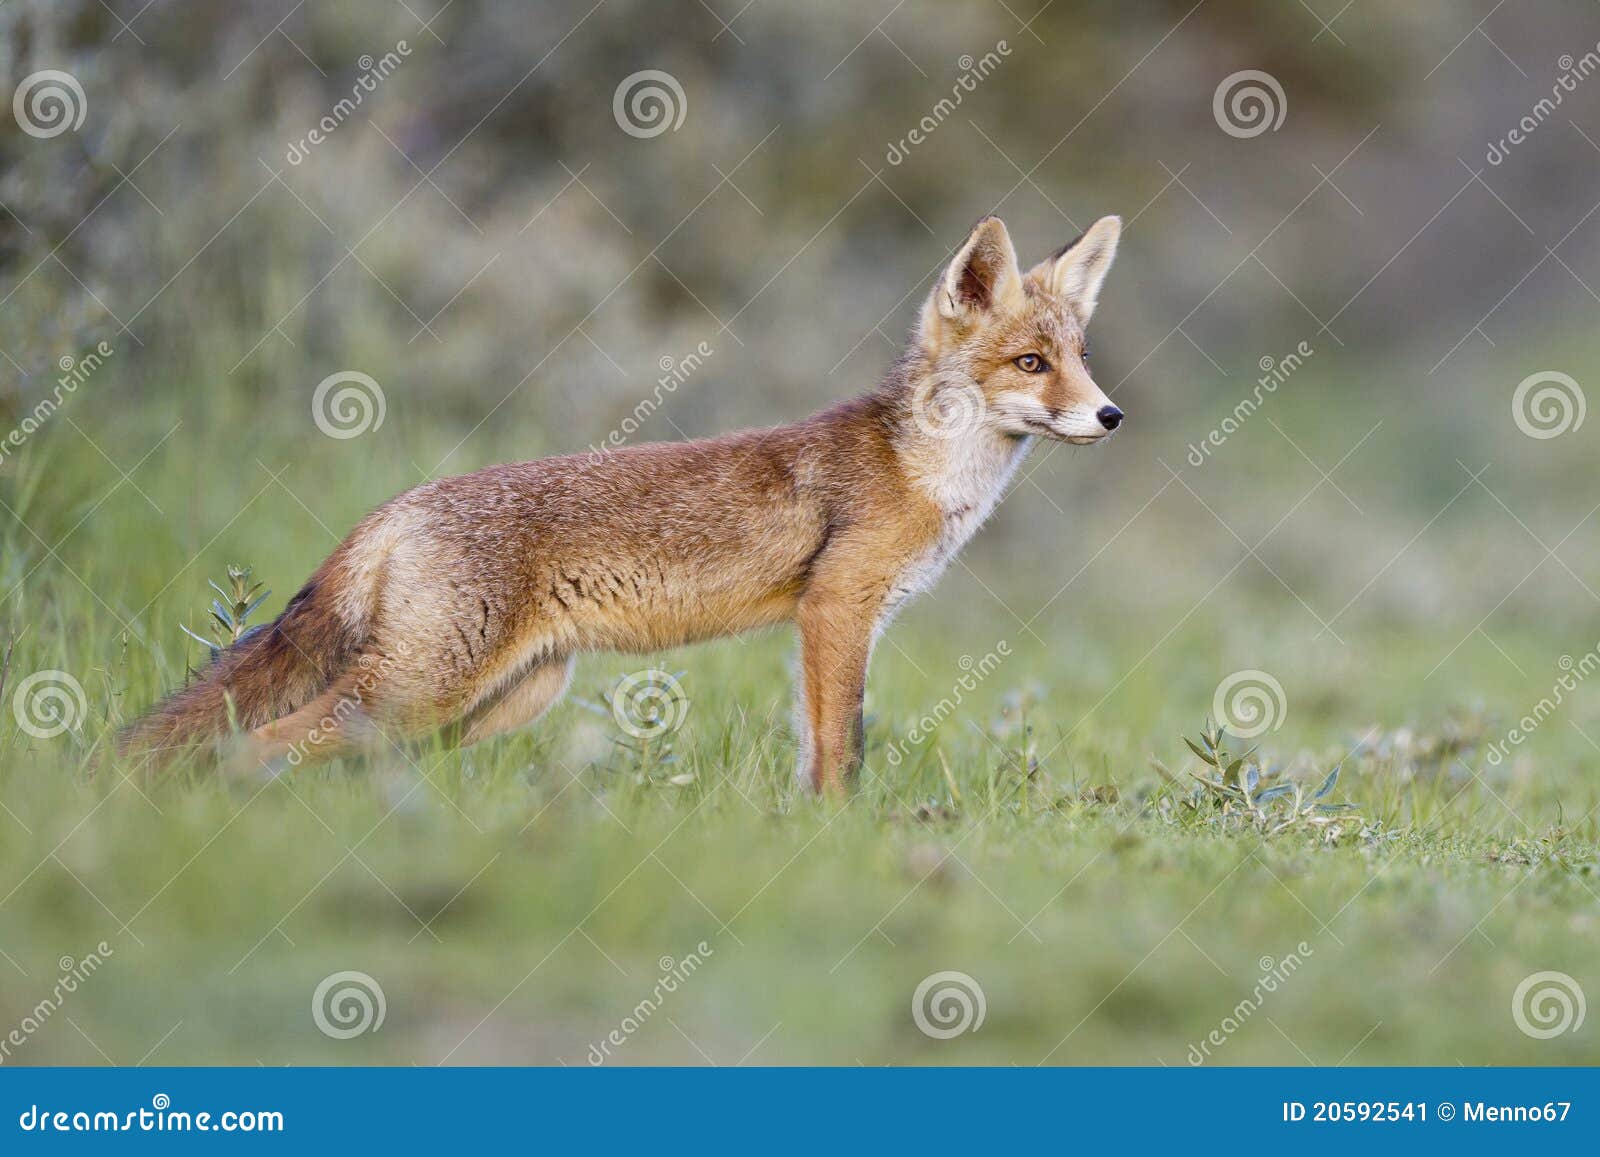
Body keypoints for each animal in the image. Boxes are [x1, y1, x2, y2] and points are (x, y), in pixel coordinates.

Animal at [119, 213, 1126, 794]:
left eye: (1079, 358)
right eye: (1031, 364)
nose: (1112, 415)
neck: (922, 470)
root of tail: (392, 508)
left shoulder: (829, 621)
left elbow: (816, 745)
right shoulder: (836, 609)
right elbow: (841, 748)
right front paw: (843, 838)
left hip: (499, 701)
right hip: (416, 692)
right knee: (255, 744)